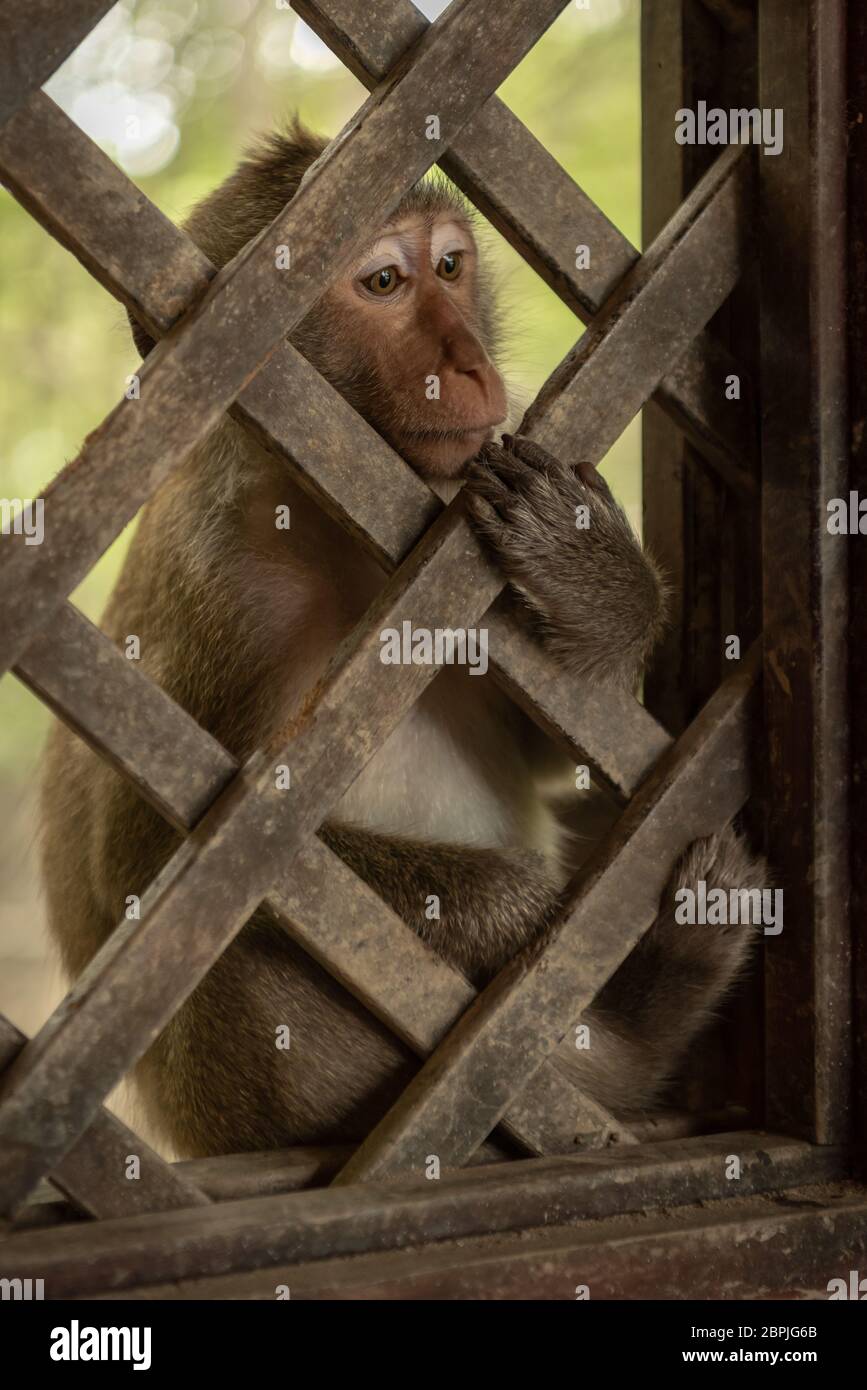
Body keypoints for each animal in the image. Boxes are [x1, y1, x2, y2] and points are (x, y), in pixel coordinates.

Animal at [39, 122, 766, 1159]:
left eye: (450, 267)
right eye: (383, 282)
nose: (468, 366)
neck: (329, 525)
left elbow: (554, 752)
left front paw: (597, 585)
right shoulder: (227, 592)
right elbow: (155, 868)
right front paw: (520, 913)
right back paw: (636, 1028)